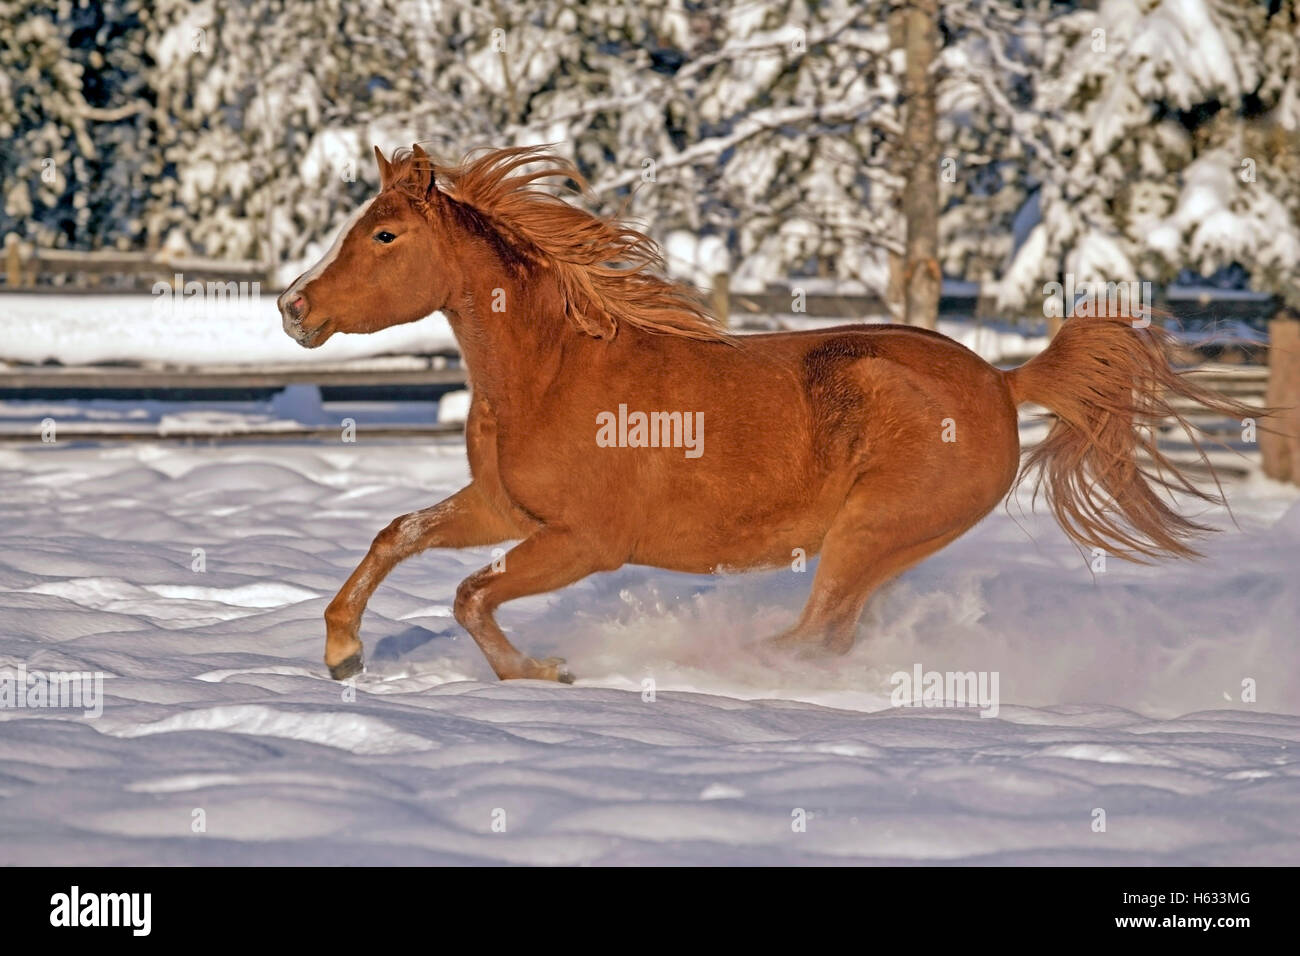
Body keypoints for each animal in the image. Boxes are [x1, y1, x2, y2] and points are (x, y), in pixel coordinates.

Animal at [277, 143, 1254, 683]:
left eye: (384, 234)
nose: (293, 307)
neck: (555, 371)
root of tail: (1005, 385)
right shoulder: (503, 509)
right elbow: (396, 536)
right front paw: (342, 653)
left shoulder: (585, 541)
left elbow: (471, 595)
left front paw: (545, 671)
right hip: (881, 548)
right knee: (826, 636)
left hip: (869, 532)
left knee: (813, 635)